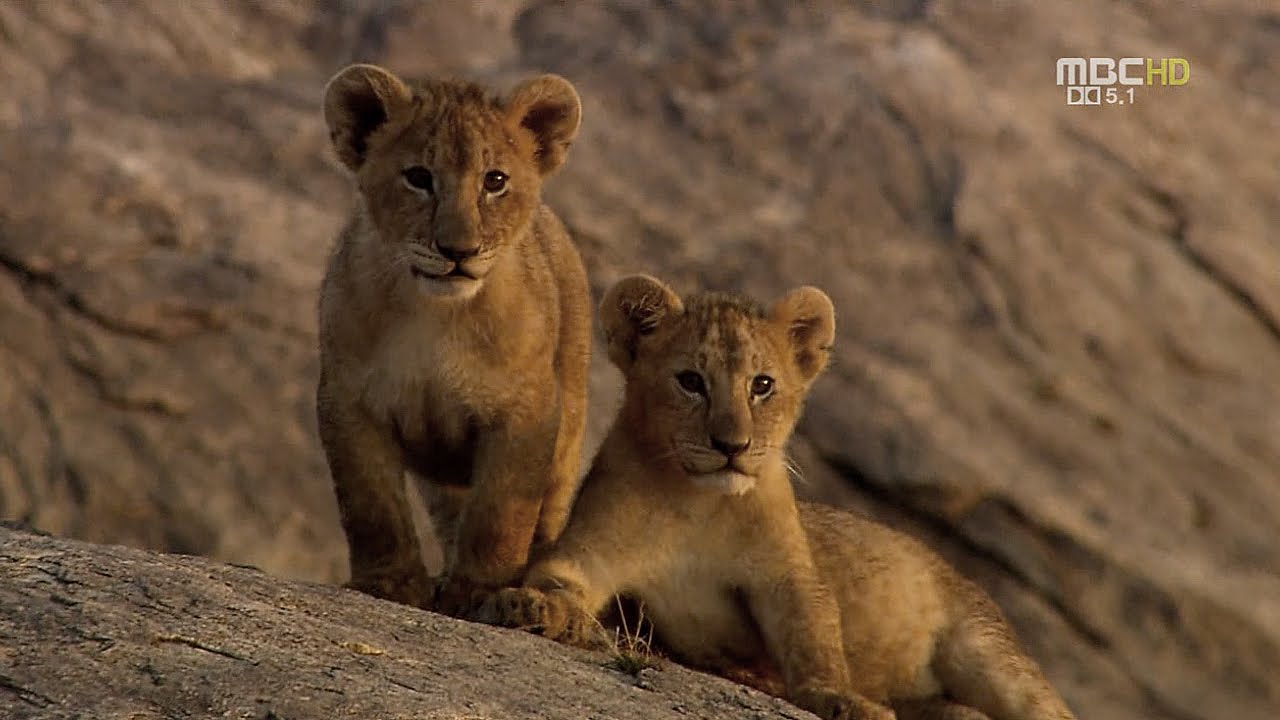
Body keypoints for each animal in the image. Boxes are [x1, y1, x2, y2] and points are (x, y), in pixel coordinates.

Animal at [315, 64, 590, 612]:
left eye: (495, 181)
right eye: (419, 178)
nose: (458, 250)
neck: (435, 314)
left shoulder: (526, 408)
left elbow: (501, 514)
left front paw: (479, 591)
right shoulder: (348, 400)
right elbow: (371, 506)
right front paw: (391, 584)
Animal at [477, 275, 1077, 720]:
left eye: (762, 385)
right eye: (691, 381)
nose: (732, 445)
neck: (697, 503)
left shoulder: (787, 574)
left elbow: (813, 638)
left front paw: (840, 698)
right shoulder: (590, 554)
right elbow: (558, 581)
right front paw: (532, 607)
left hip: (986, 651)